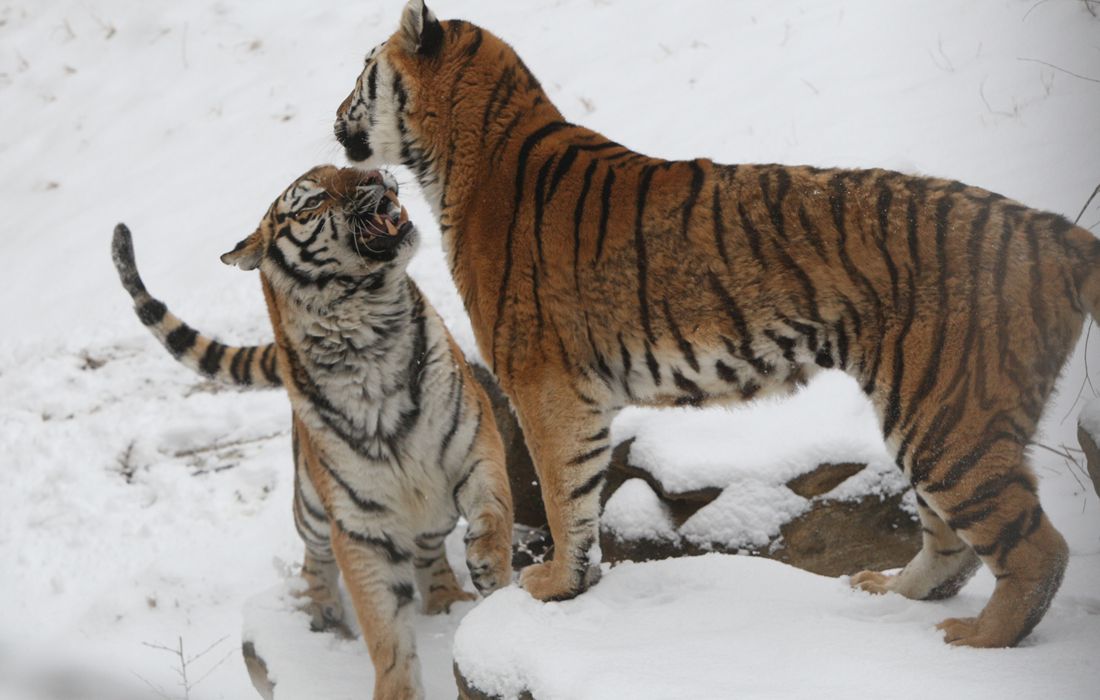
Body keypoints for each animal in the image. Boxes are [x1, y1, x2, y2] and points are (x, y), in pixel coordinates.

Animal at [111, 165, 513, 699]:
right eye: (313, 201)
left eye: (345, 169)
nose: (375, 170)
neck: (367, 340)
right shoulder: (360, 526)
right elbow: (384, 631)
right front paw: (396, 684)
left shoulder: (474, 444)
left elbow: (494, 506)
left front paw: (489, 565)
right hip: (312, 506)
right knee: (312, 558)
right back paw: (322, 612)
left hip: (430, 508)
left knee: (428, 547)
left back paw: (446, 597)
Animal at [328, 0, 1100, 650]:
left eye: (363, 72)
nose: (335, 118)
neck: (459, 153)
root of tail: (1053, 231)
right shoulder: (580, 397)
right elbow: (583, 493)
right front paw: (578, 579)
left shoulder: (545, 386)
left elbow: (559, 495)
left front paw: (551, 583)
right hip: (933, 413)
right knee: (954, 541)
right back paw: (890, 592)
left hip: (948, 414)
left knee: (1035, 548)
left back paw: (977, 638)